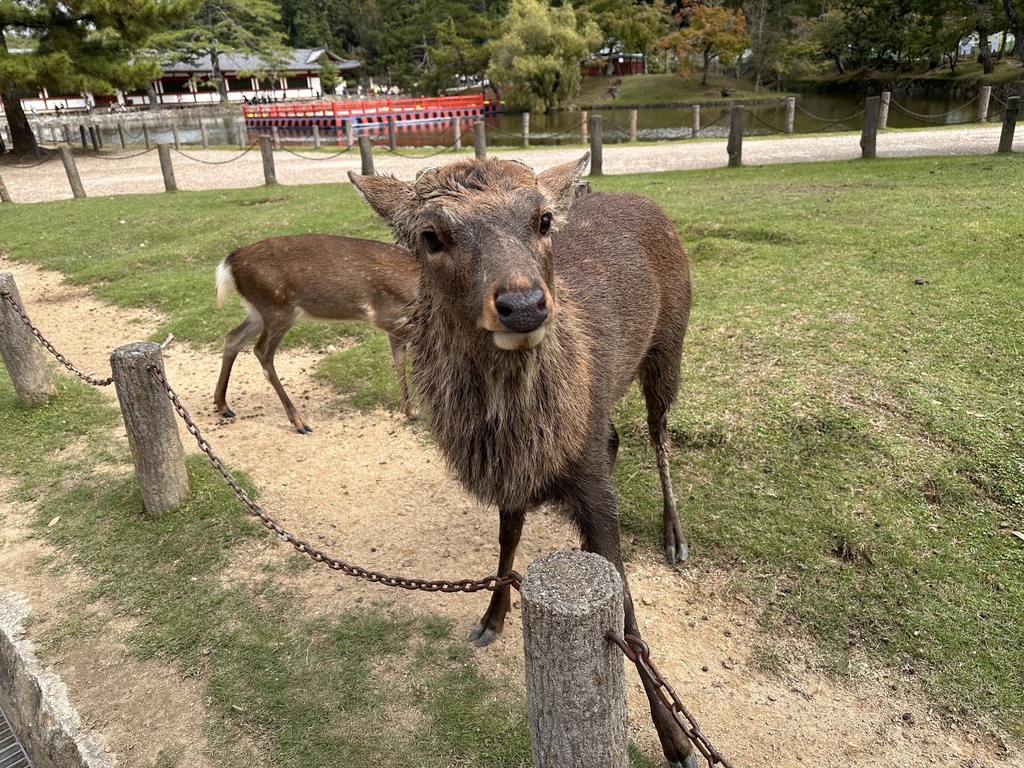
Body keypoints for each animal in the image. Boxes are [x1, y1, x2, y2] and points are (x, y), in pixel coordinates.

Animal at [213, 234, 419, 434]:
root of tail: (229, 263)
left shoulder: (397, 323)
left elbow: (399, 359)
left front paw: (410, 412)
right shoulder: (386, 316)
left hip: (259, 311)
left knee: (233, 338)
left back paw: (223, 406)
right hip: (278, 307)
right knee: (262, 351)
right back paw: (299, 422)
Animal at [348, 153, 696, 766]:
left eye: (543, 219)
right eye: (431, 237)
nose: (524, 305)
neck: (524, 443)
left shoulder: (594, 492)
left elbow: (625, 607)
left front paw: (675, 739)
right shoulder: (514, 473)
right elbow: (506, 539)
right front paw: (491, 618)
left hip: (670, 342)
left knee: (659, 432)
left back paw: (674, 534)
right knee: (614, 434)